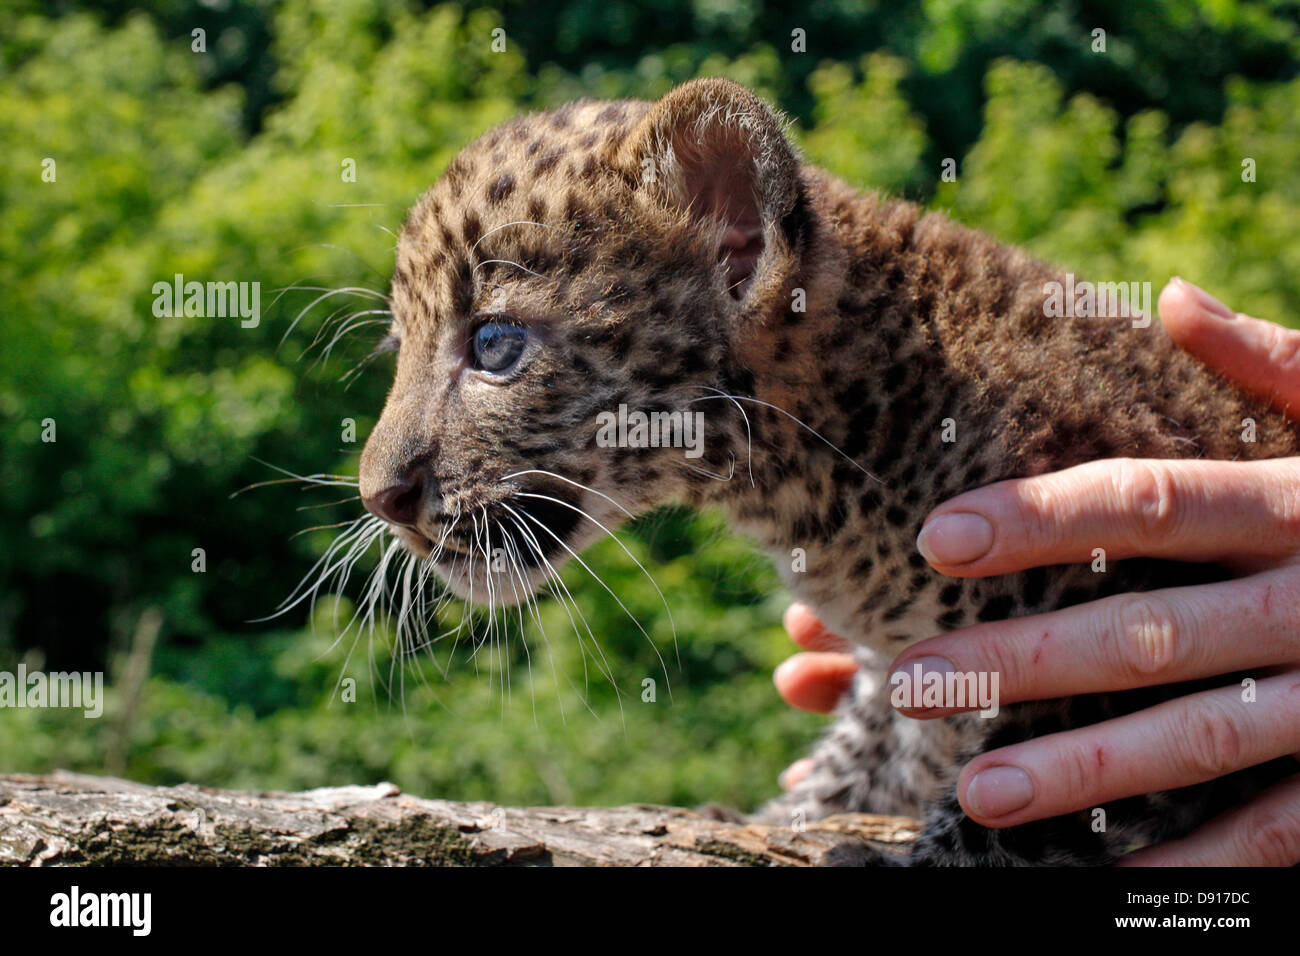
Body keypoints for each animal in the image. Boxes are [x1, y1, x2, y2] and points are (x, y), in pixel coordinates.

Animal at [354, 77, 1299, 865]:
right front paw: (774, 819)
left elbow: (1024, 805)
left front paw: (910, 857)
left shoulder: (1132, 622)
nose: (380, 497)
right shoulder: (911, 667)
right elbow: (874, 752)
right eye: (400, 349)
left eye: (495, 345)